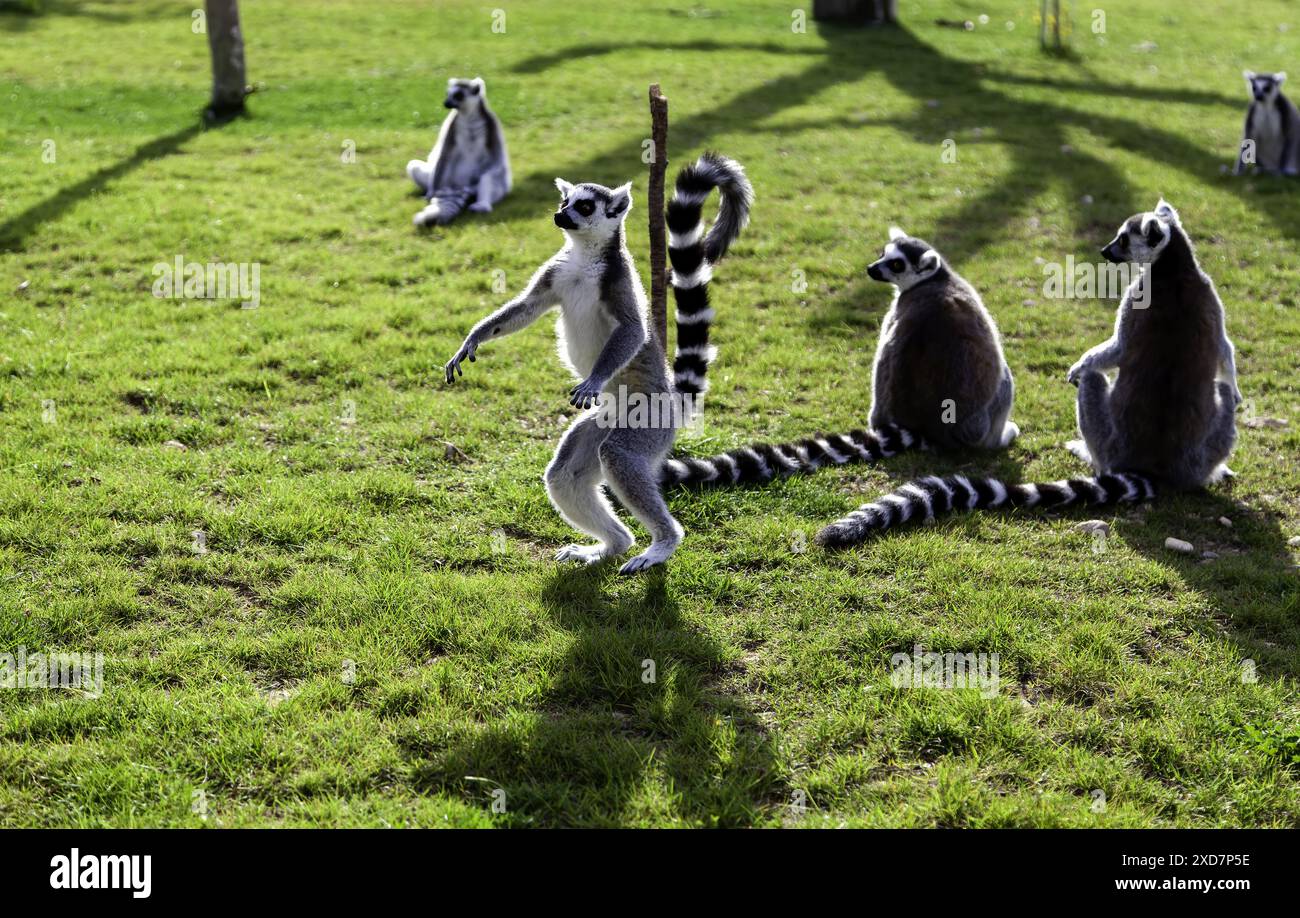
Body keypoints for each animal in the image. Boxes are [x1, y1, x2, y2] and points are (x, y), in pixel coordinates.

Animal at [407, 77, 511, 227]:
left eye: (458, 95)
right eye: (448, 94)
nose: (445, 103)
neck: (469, 116)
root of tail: (459, 186)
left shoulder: (491, 127)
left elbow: (497, 160)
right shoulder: (452, 127)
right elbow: (443, 157)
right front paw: (431, 192)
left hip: (500, 188)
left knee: (489, 176)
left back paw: (482, 205)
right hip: (446, 180)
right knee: (414, 166)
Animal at [444, 153, 752, 573]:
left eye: (585, 207)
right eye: (565, 202)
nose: (559, 215)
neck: (583, 257)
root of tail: (673, 403)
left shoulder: (618, 282)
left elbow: (633, 331)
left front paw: (593, 378)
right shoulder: (555, 273)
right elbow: (524, 308)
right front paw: (472, 339)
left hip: (647, 423)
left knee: (619, 456)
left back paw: (662, 544)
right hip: (596, 424)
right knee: (565, 475)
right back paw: (610, 546)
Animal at [661, 228, 1017, 488]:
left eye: (896, 263)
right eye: (883, 255)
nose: (872, 269)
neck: (934, 280)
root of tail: (924, 426)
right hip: (979, 425)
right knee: (1005, 382)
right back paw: (1002, 436)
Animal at [816, 199, 1241, 548]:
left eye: (895, 263)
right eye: (883, 256)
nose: (872, 269)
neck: (1172, 267)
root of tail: (1156, 465)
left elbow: (1148, 350)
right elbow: (1210, 349)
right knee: (1211, 392)